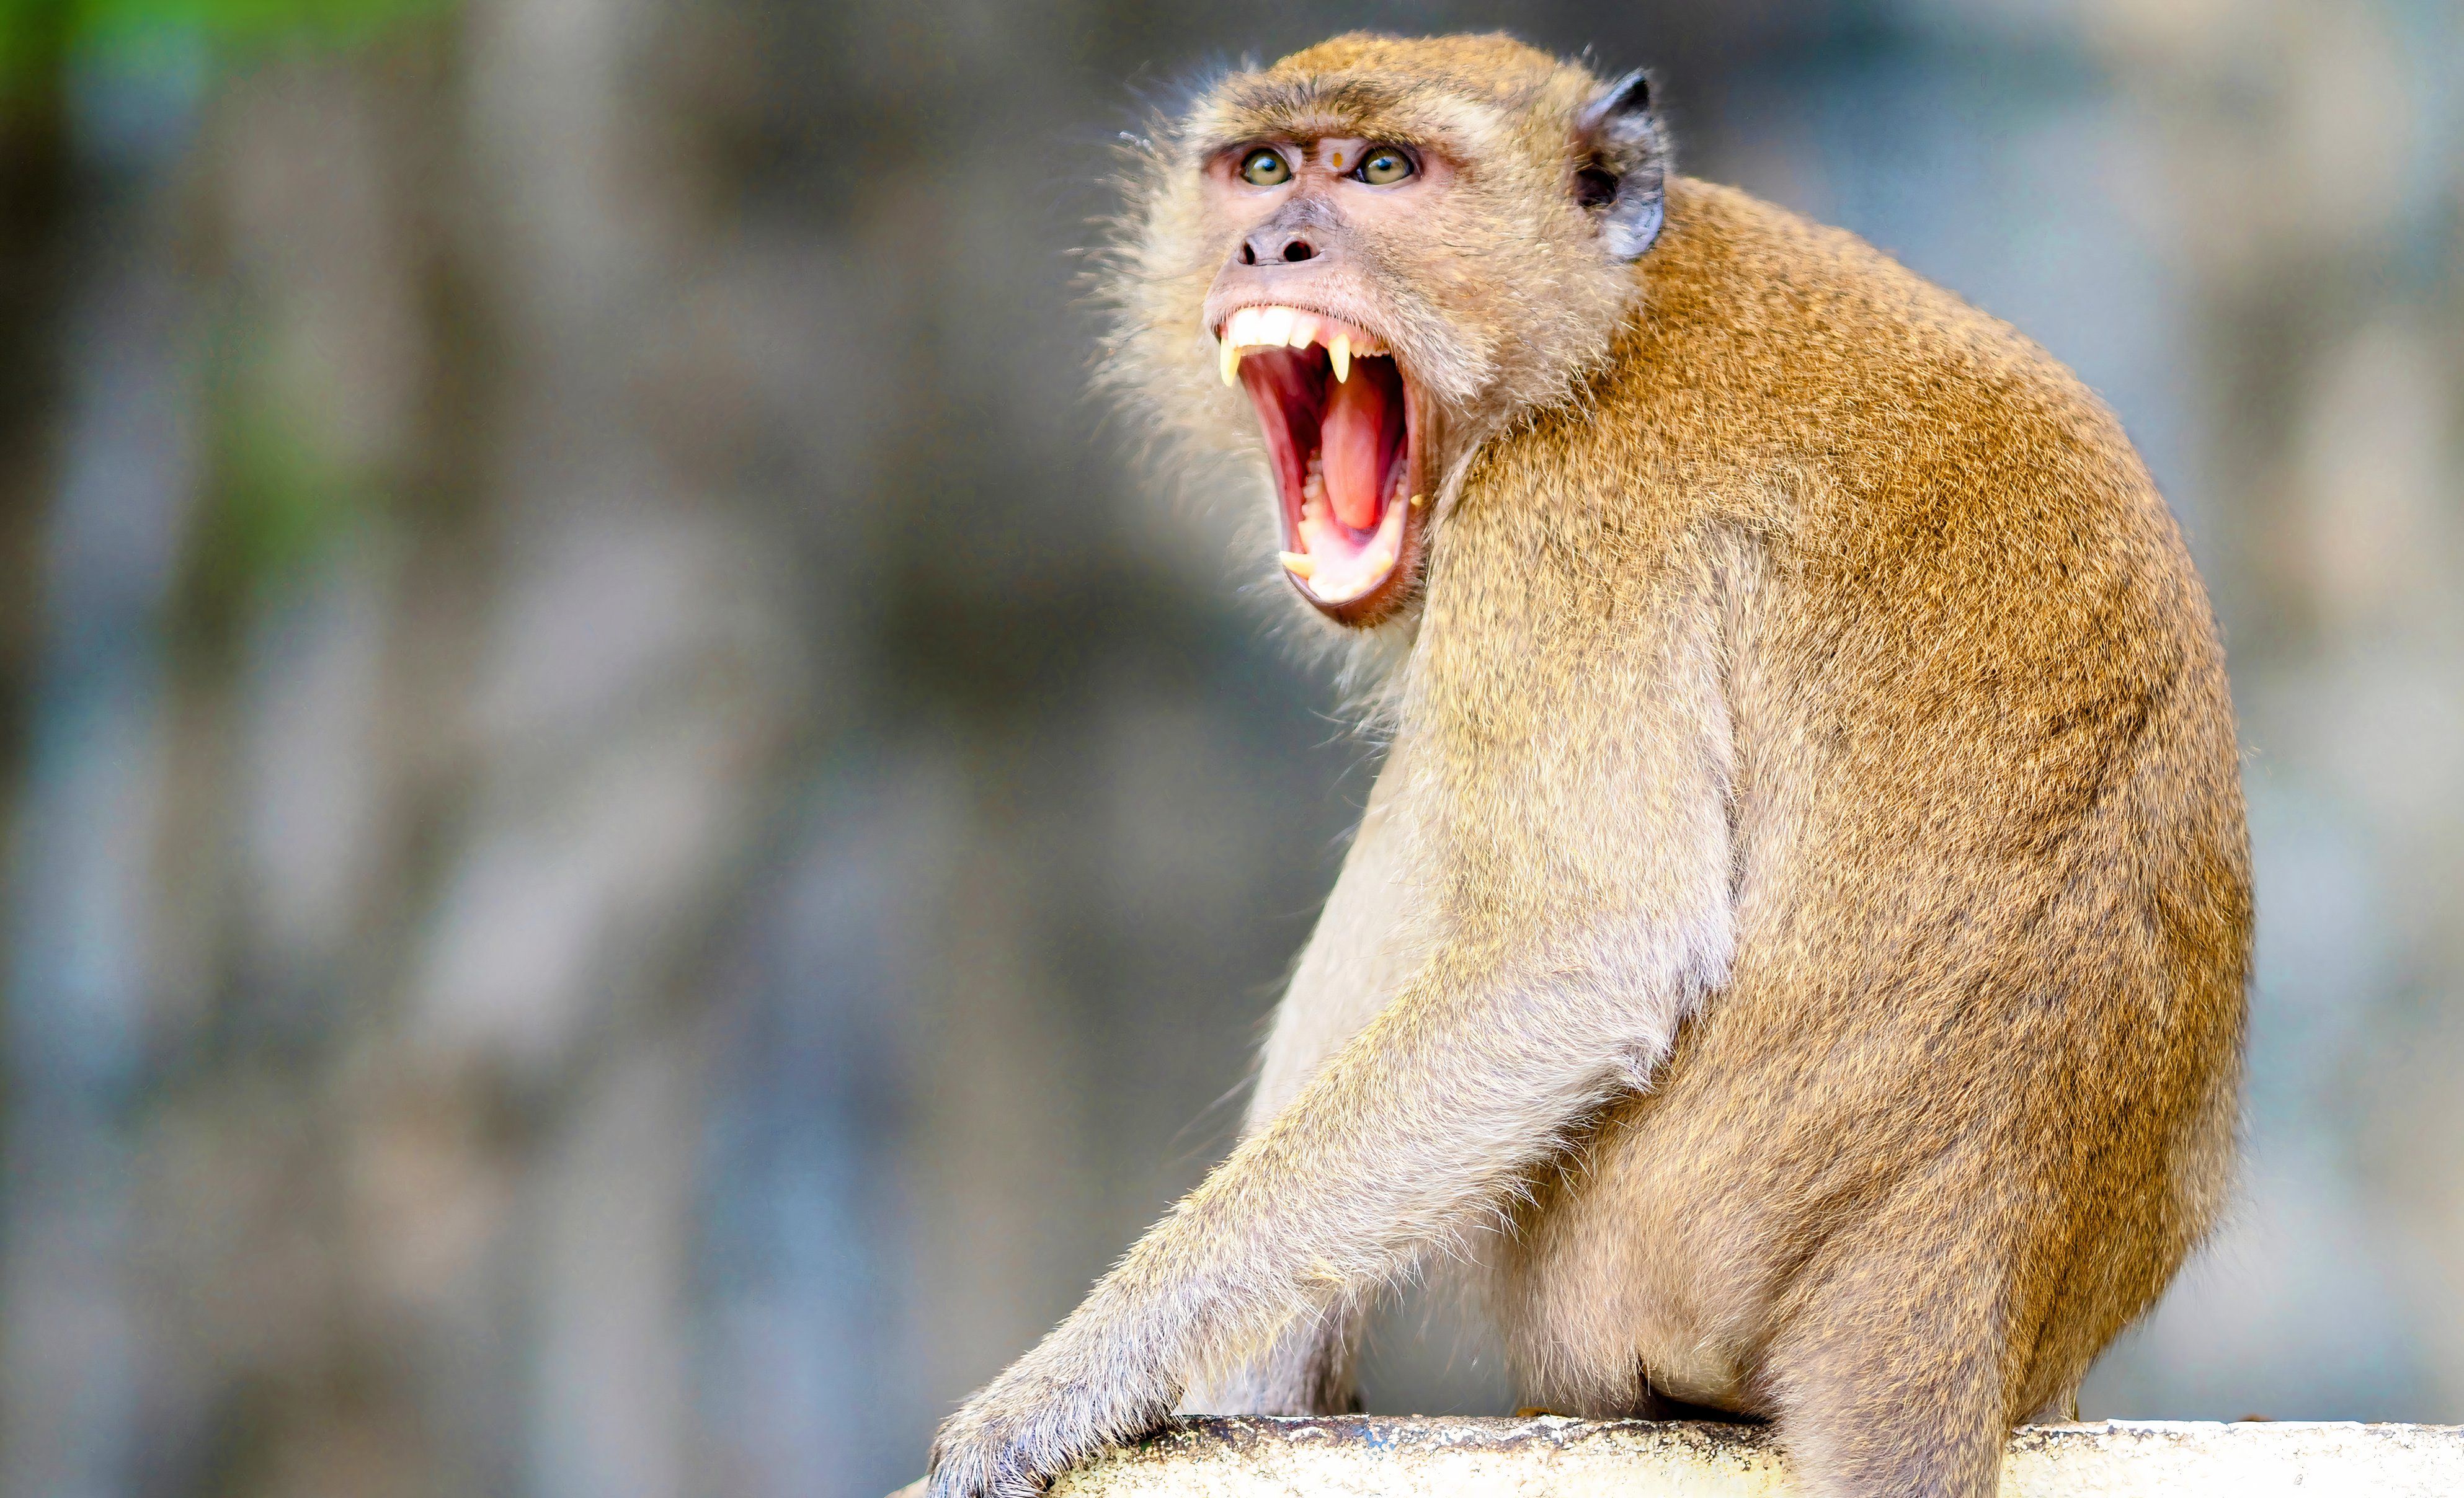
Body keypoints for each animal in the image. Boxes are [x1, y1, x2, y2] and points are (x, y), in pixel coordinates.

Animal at [924, 32, 2249, 1498]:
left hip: (1633, 1276)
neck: (1603, 317)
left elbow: (1583, 951)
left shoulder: (1561, 514)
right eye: (1263, 167)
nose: (1273, 242)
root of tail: (1961, 1273)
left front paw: (1057, 1390)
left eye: (1382, 169)